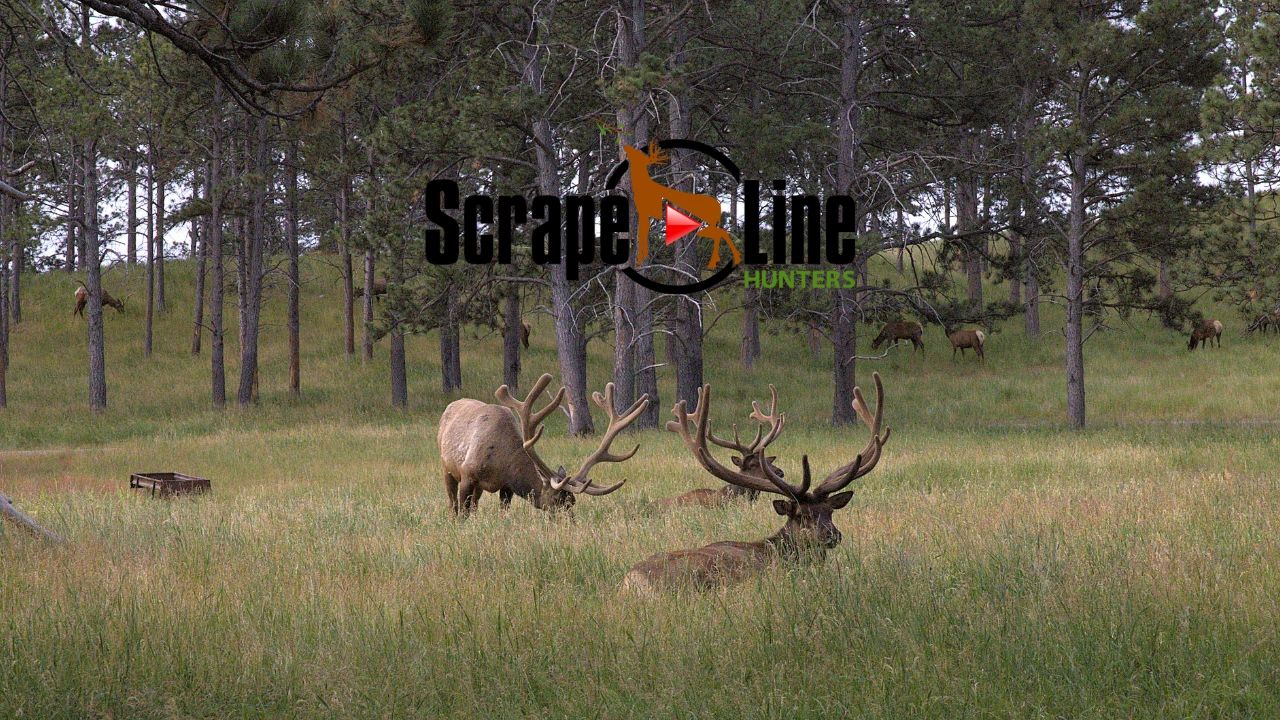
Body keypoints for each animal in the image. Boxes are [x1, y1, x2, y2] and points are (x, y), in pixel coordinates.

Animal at [437, 373, 649, 517]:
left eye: (572, 502)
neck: (502, 461)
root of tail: (450, 405)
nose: (570, 522)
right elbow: (462, 512)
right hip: (446, 467)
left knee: (474, 504)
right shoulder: (467, 474)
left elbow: (501, 512)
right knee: (452, 502)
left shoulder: (506, 487)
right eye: (557, 500)